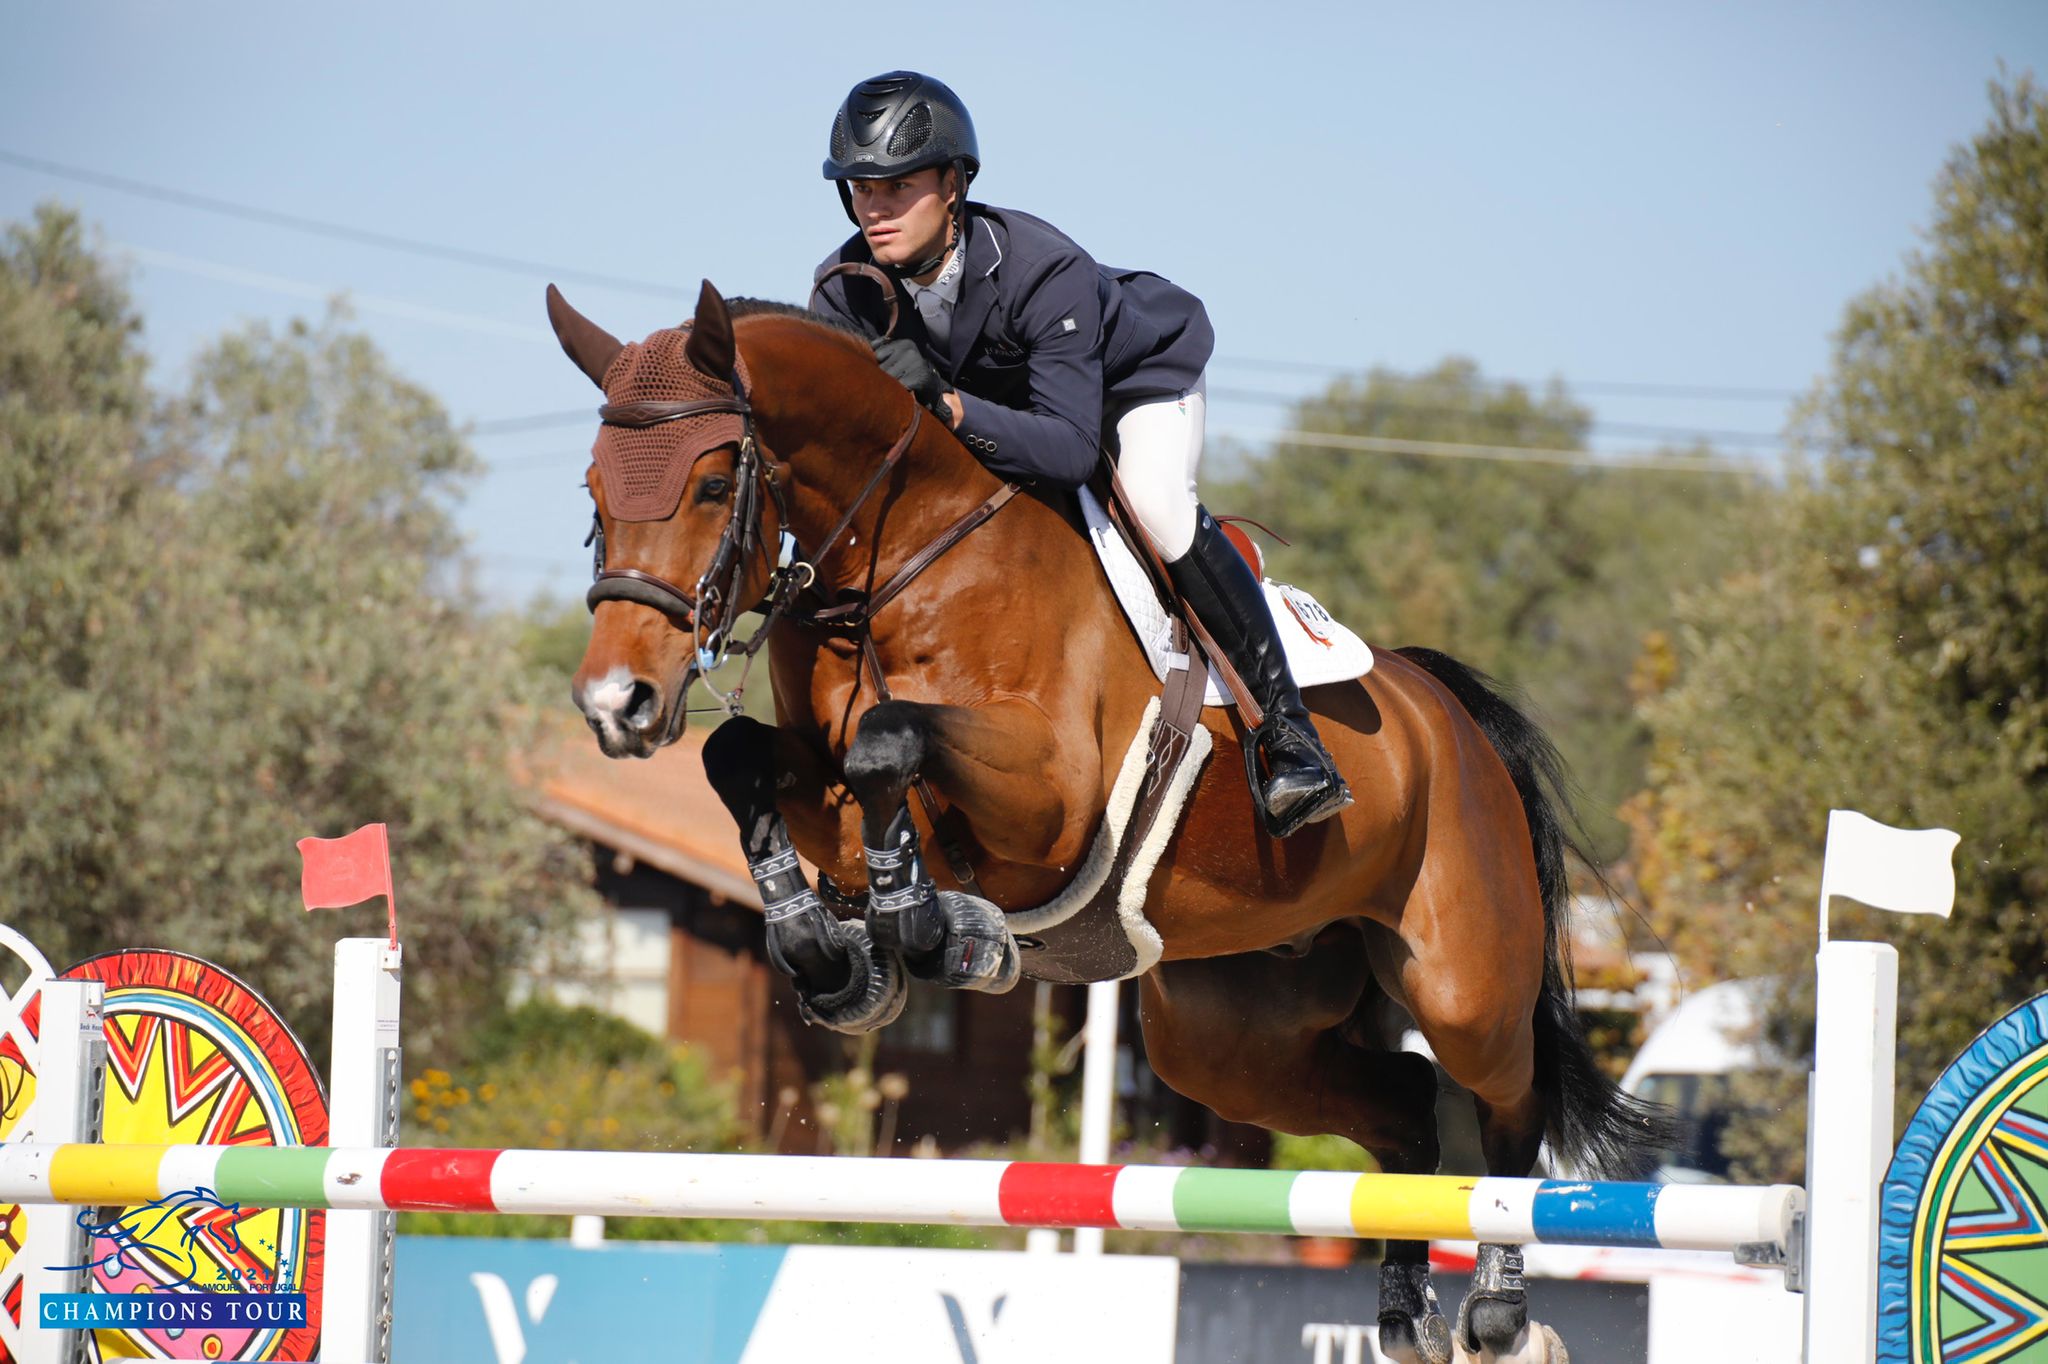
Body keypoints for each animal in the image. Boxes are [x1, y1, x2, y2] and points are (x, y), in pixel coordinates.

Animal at [548, 278, 1660, 1364]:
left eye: (709, 483)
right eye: (593, 493)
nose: (615, 702)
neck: (904, 553)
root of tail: (1448, 713)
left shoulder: (1051, 798)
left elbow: (886, 740)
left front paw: (933, 928)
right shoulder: (820, 774)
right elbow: (746, 760)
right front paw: (831, 953)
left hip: (1459, 978)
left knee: (1505, 1105)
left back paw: (1499, 1309)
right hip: (1231, 1035)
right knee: (1400, 1107)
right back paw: (1401, 1313)